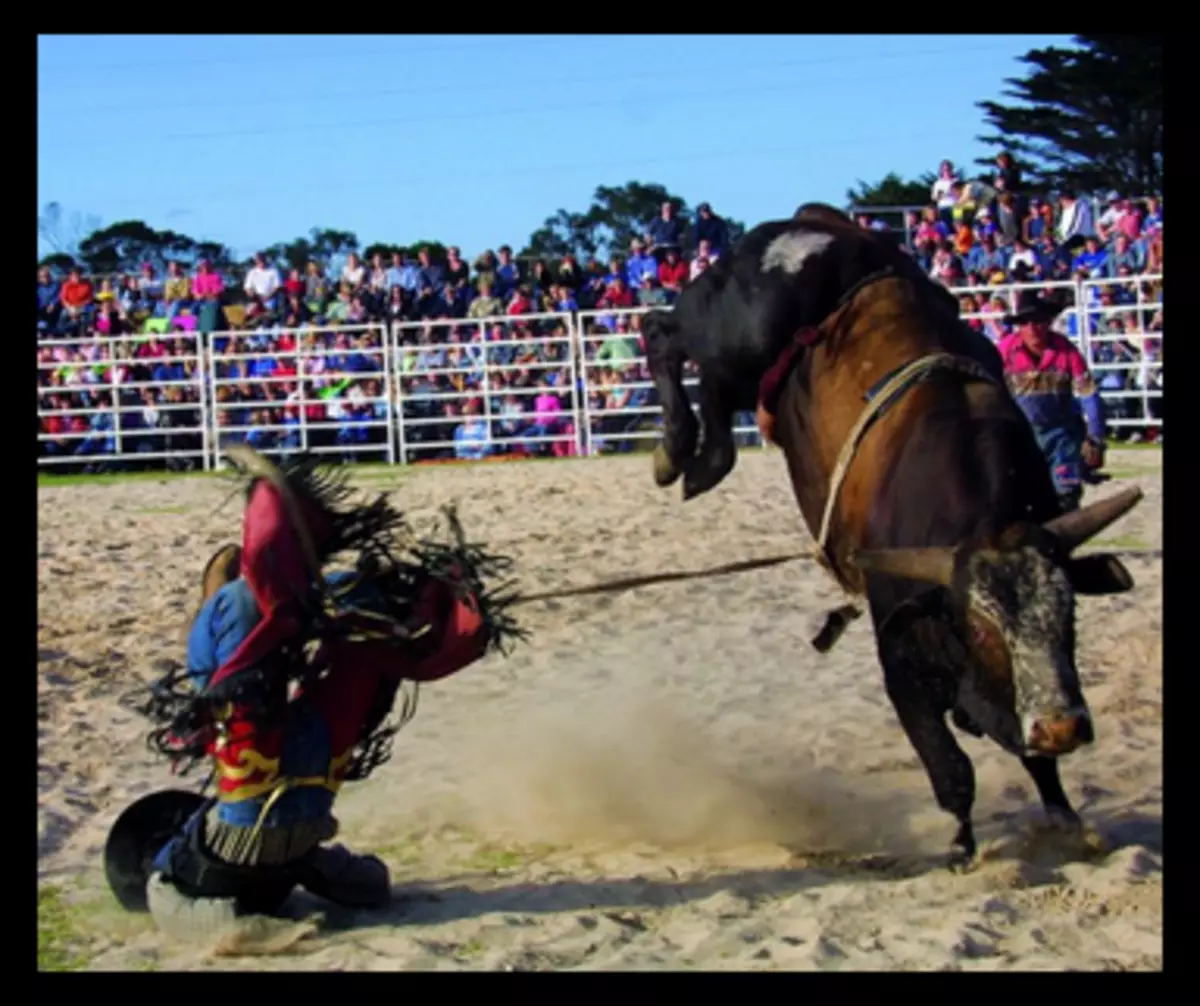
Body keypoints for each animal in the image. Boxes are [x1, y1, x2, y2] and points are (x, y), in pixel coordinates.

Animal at [643, 202, 1147, 864]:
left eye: (1069, 615)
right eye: (979, 631)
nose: (1063, 725)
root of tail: (811, 221)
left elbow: (1032, 758)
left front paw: (1063, 817)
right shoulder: (900, 654)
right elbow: (949, 765)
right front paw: (960, 845)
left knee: (714, 392)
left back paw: (699, 459)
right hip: (733, 326)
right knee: (664, 335)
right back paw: (678, 450)